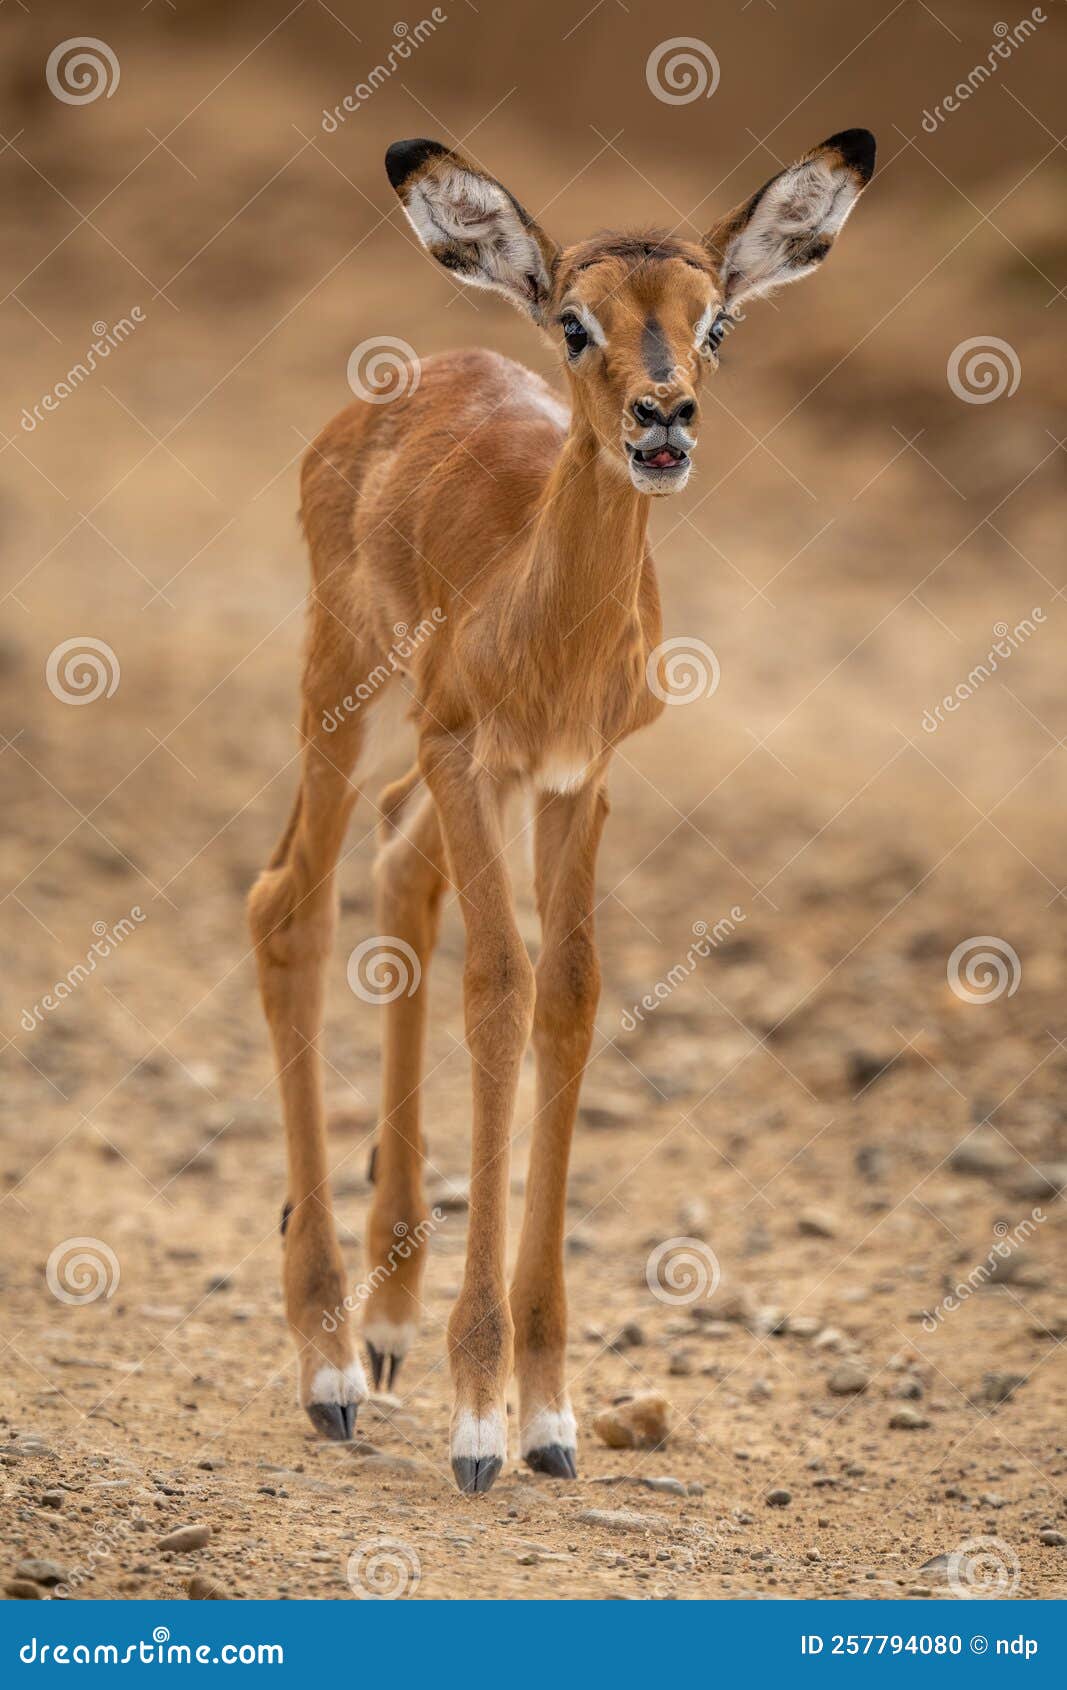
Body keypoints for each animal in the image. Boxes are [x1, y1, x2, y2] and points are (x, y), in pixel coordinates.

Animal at [248, 127, 876, 1493]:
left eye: (714, 321)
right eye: (576, 322)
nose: (663, 417)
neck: (550, 619)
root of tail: (394, 390)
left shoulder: (573, 783)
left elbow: (571, 998)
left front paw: (544, 1409)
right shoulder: (470, 754)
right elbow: (499, 989)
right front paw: (480, 1414)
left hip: (431, 764)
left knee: (394, 862)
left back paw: (386, 1322)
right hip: (342, 683)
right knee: (289, 908)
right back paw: (329, 1364)